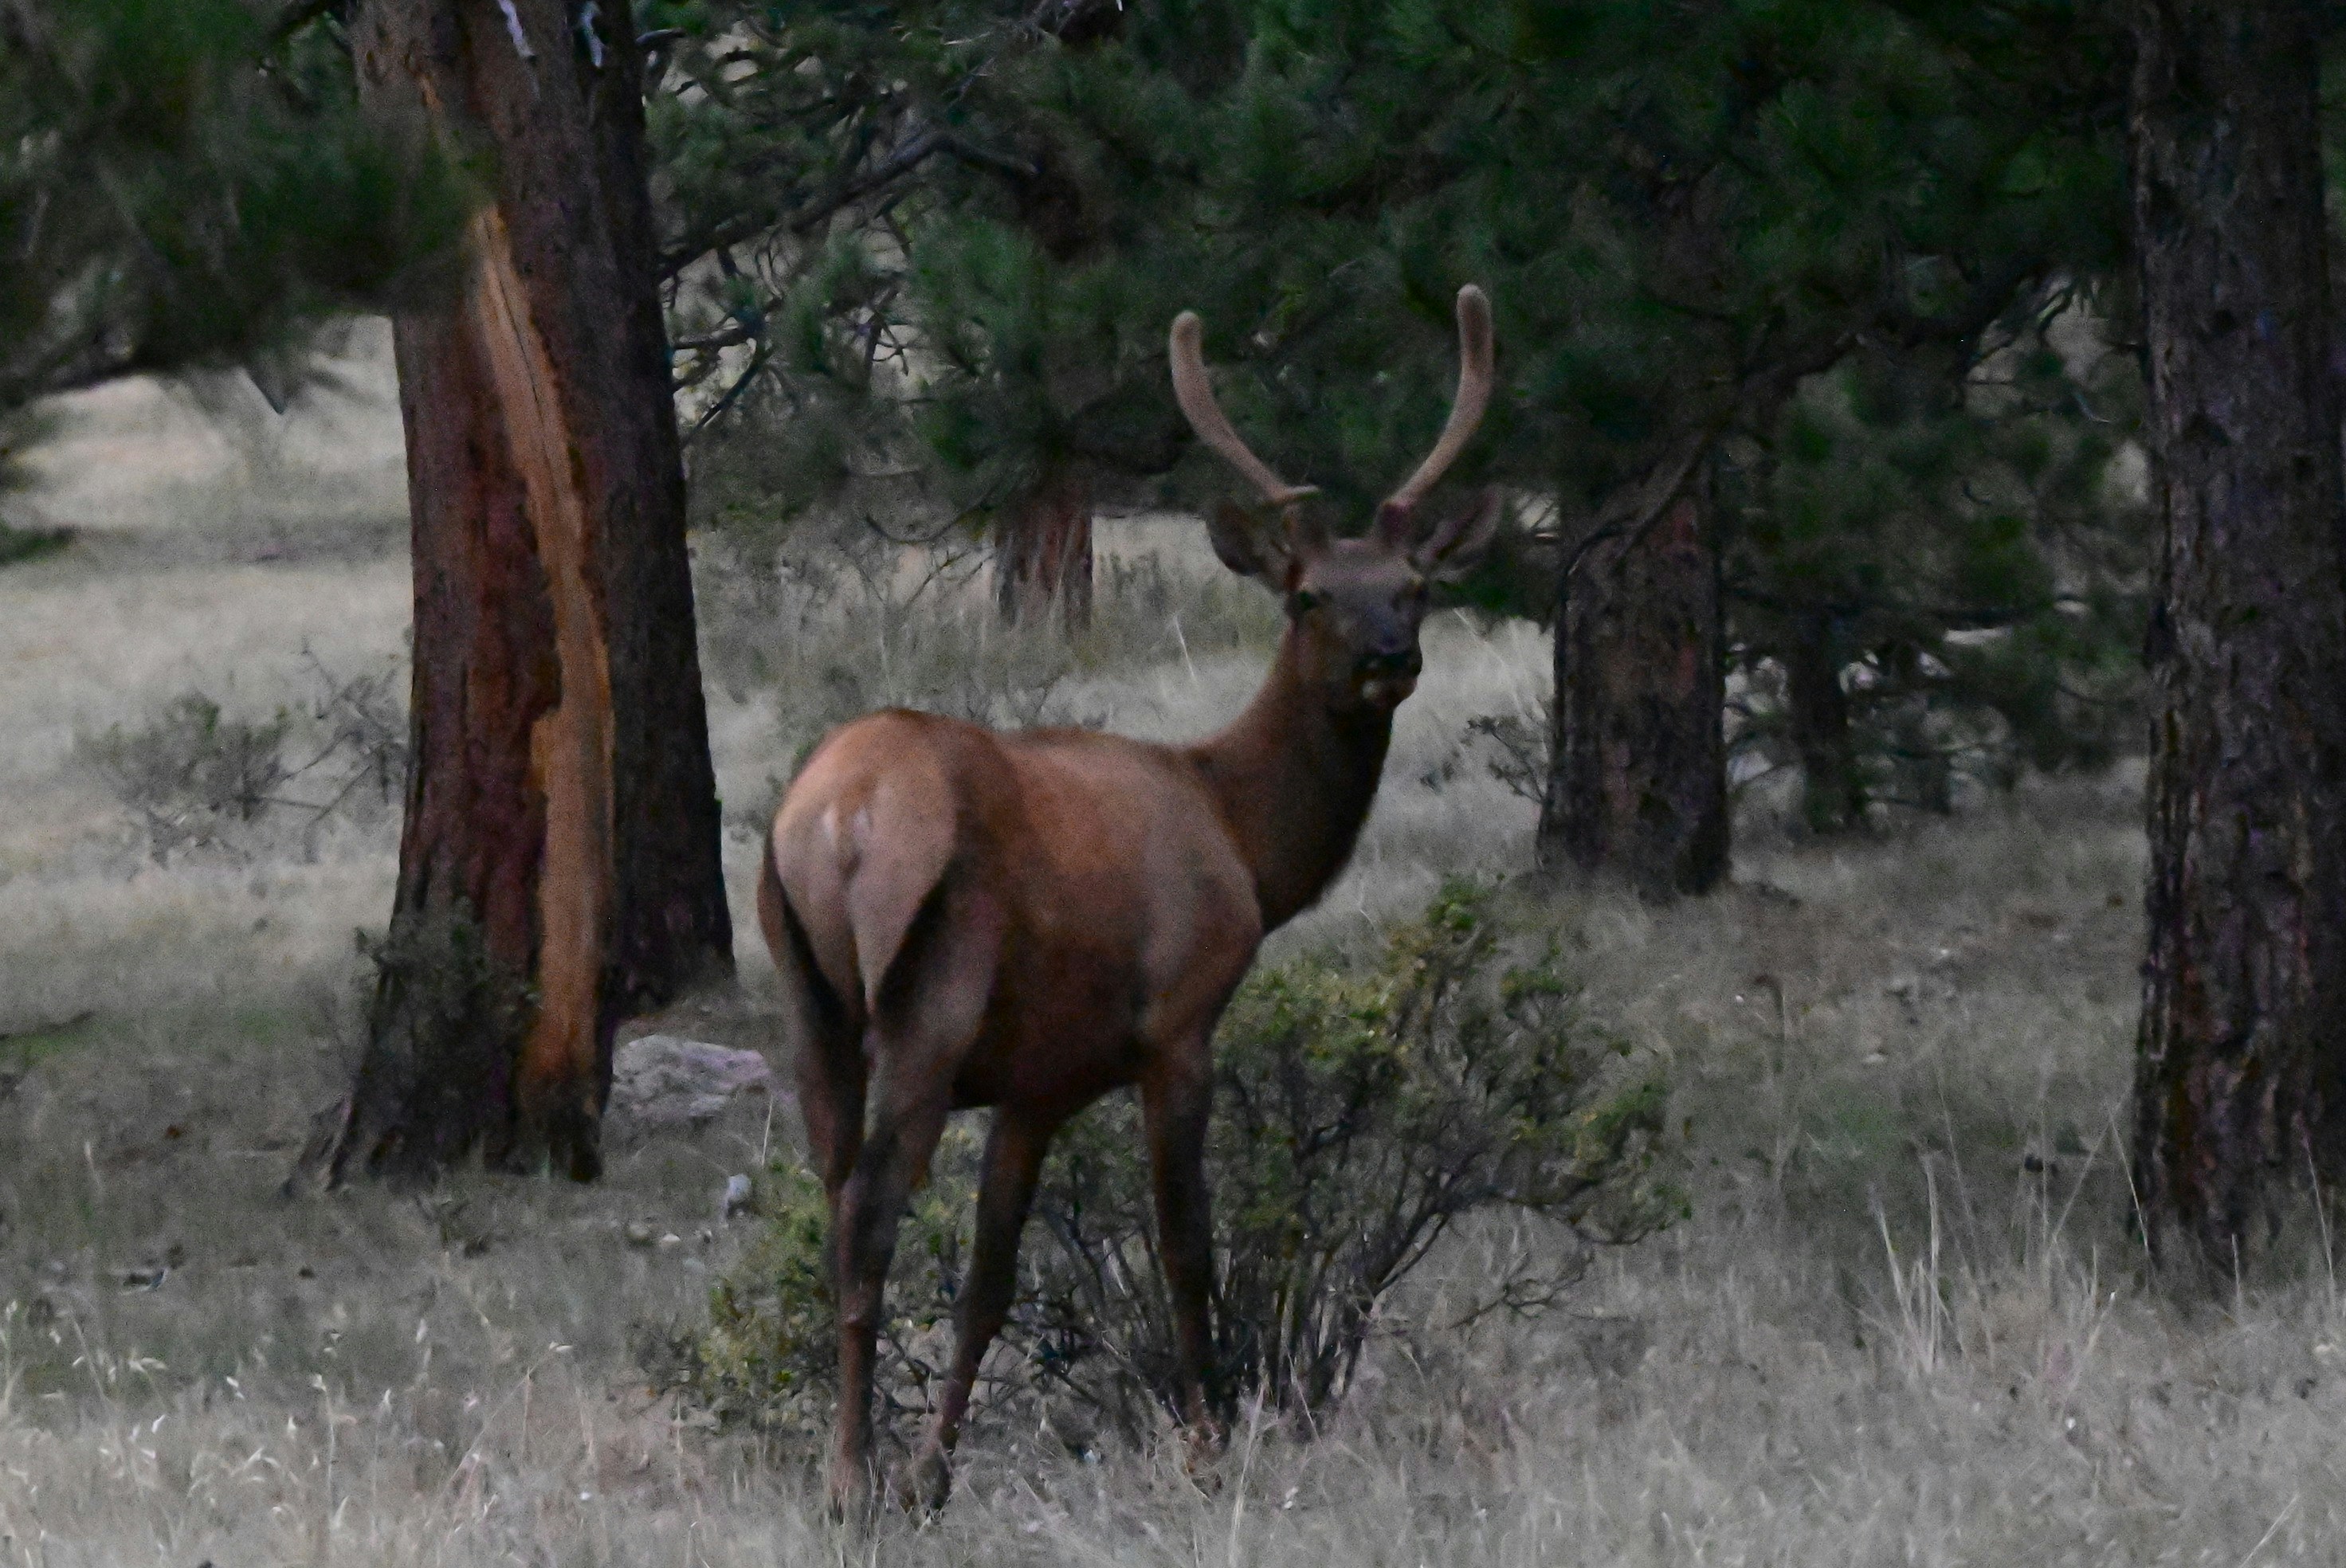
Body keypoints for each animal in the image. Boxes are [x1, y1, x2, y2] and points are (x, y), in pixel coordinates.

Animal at [757, 285, 1499, 1513]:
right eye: (1309, 596)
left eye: (1416, 588)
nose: (1389, 655)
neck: (1245, 842)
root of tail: (834, 819)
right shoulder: (1178, 1019)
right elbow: (1183, 1246)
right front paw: (1205, 1443)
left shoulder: (1038, 1083)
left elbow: (989, 1283)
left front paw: (939, 1471)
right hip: (928, 997)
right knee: (866, 1218)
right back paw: (846, 1480)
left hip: (806, 993)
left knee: (826, 1202)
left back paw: (853, 1458)